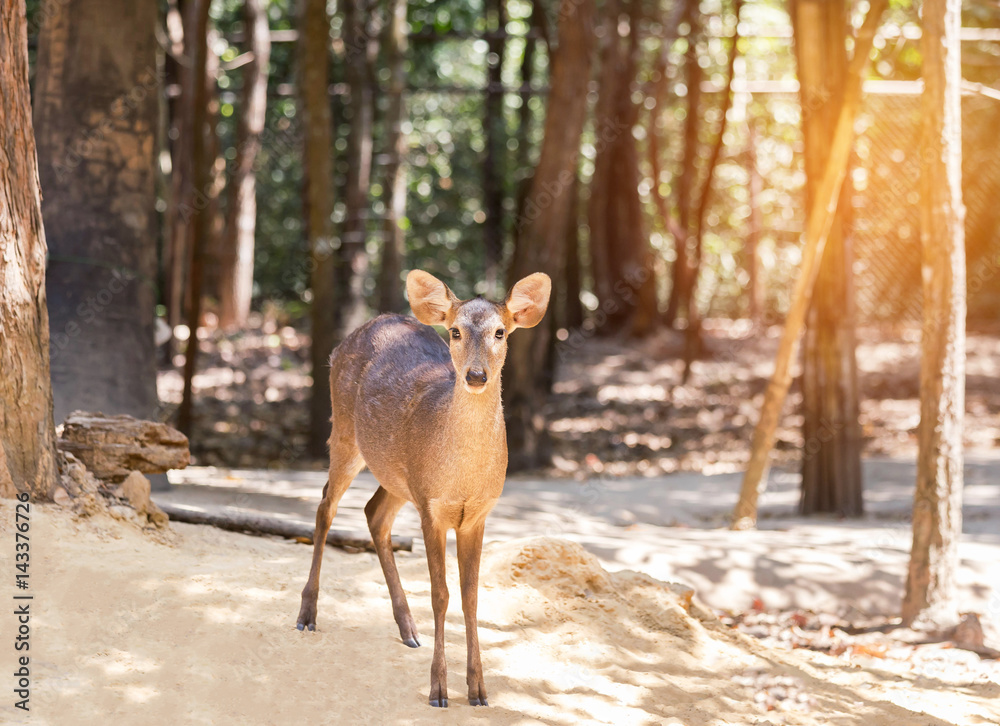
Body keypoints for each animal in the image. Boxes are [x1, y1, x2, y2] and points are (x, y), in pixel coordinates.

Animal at [296, 269, 551, 708]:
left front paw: (479, 690)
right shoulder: (432, 508)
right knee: (326, 505)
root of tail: (350, 337)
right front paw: (438, 690)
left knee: (373, 512)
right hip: (344, 431)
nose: (476, 375)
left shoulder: (476, 514)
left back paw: (408, 629)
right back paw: (307, 615)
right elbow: (440, 595)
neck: (462, 477)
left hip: (398, 475)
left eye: (500, 331)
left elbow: (471, 596)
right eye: (454, 331)